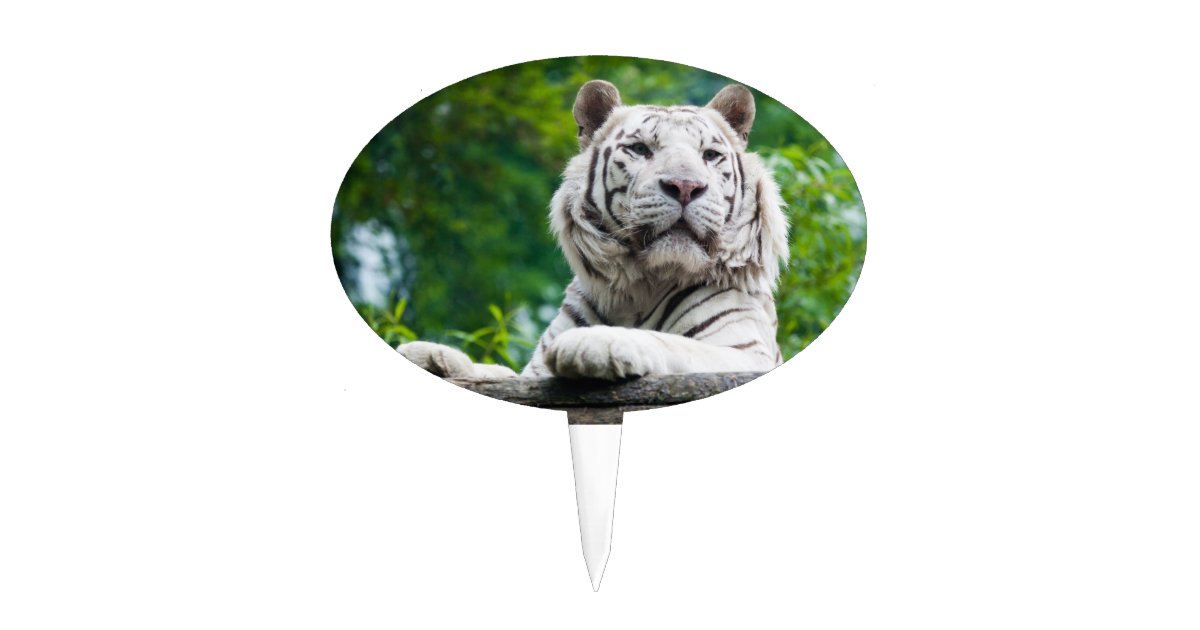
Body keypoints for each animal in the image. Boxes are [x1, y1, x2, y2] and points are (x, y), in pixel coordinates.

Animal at [397, 80, 789, 381]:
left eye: (709, 155)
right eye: (640, 149)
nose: (684, 186)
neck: (640, 288)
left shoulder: (743, 352)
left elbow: (673, 344)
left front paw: (597, 342)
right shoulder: (533, 373)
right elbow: (496, 371)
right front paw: (428, 355)